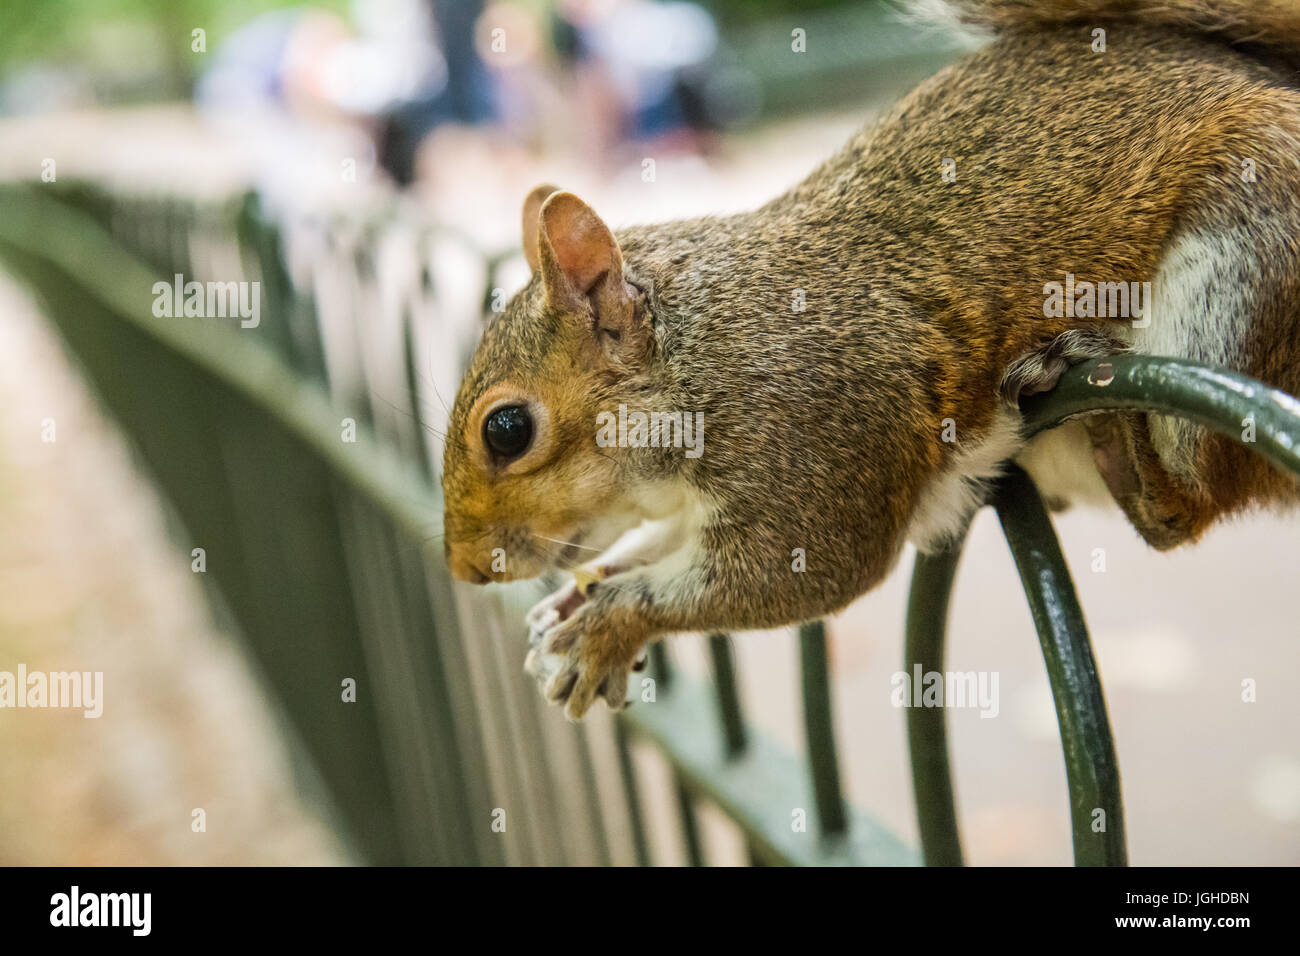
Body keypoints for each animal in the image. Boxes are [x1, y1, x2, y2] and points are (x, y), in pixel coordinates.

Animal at [442, 0, 1300, 720]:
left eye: (507, 429)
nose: (466, 570)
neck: (704, 357)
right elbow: (655, 546)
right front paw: (575, 600)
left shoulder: (814, 452)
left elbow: (792, 575)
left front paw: (607, 630)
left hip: (1242, 262)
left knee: (1184, 507)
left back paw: (1119, 443)